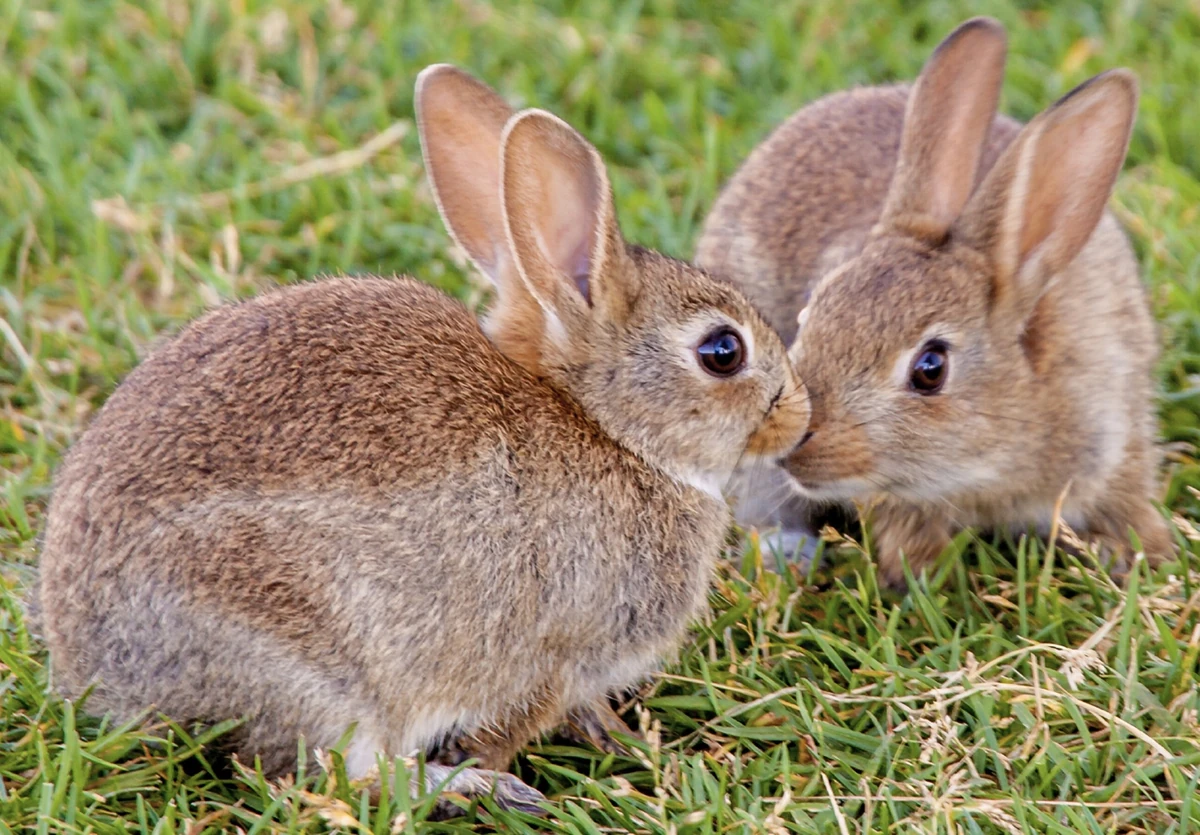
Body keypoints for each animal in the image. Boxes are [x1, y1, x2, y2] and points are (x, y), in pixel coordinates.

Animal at [37, 65, 810, 813]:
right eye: (722, 351)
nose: (799, 415)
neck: (607, 427)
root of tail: (101, 669)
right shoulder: (557, 654)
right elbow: (516, 719)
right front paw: (518, 759)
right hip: (311, 667)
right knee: (325, 779)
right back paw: (474, 790)